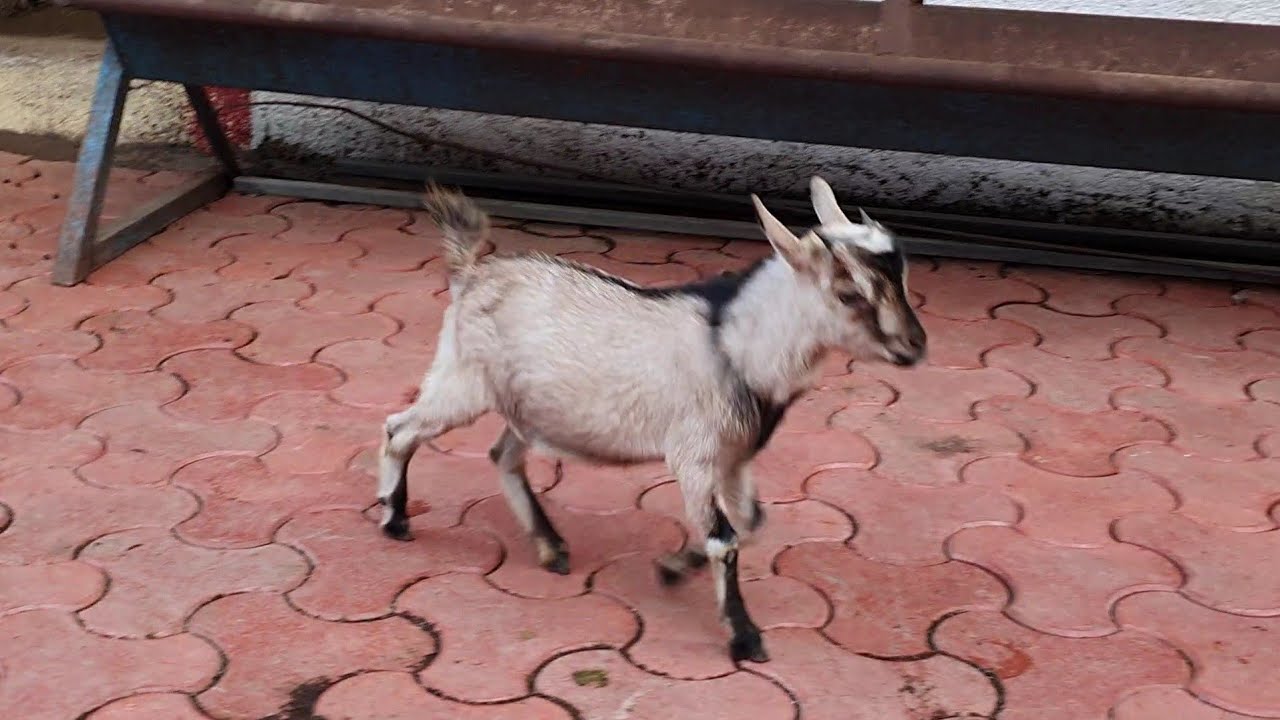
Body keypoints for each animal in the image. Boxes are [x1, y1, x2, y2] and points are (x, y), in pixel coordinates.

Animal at [377, 177, 927, 663]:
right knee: (399, 430)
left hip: (529, 408)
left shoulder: (735, 458)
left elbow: (750, 522)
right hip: (463, 381)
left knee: (502, 455)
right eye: (849, 293)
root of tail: (469, 271)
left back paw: (550, 546)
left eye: (901, 277)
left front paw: (673, 569)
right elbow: (724, 538)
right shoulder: (694, 456)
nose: (916, 346)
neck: (733, 344)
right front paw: (744, 635)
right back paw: (395, 518)